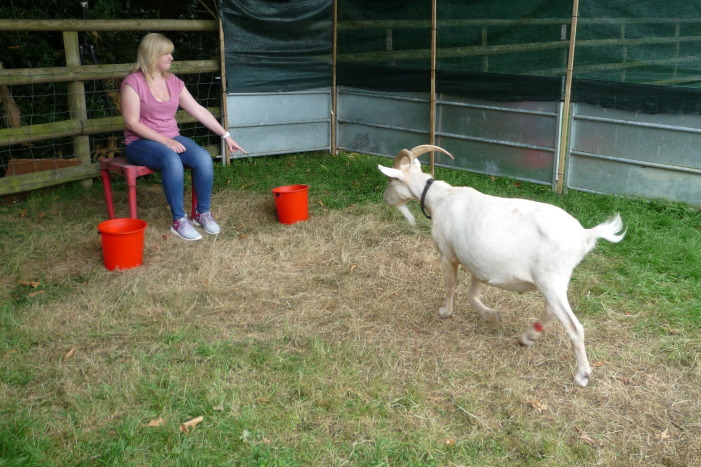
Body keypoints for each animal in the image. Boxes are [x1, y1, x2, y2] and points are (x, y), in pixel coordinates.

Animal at [378, 145, 625, 387]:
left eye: (390, 180)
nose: (385, 199)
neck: (441, 197)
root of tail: (584, 235)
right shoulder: (477, 262)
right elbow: (472, 294)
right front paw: (493, 316)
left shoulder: (448, 254)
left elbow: (450, 286)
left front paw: (445, 312)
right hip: (553, 282)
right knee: (550, 312)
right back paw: (527, 337)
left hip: (551, 279)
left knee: (574, 327)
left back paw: (582, 375)